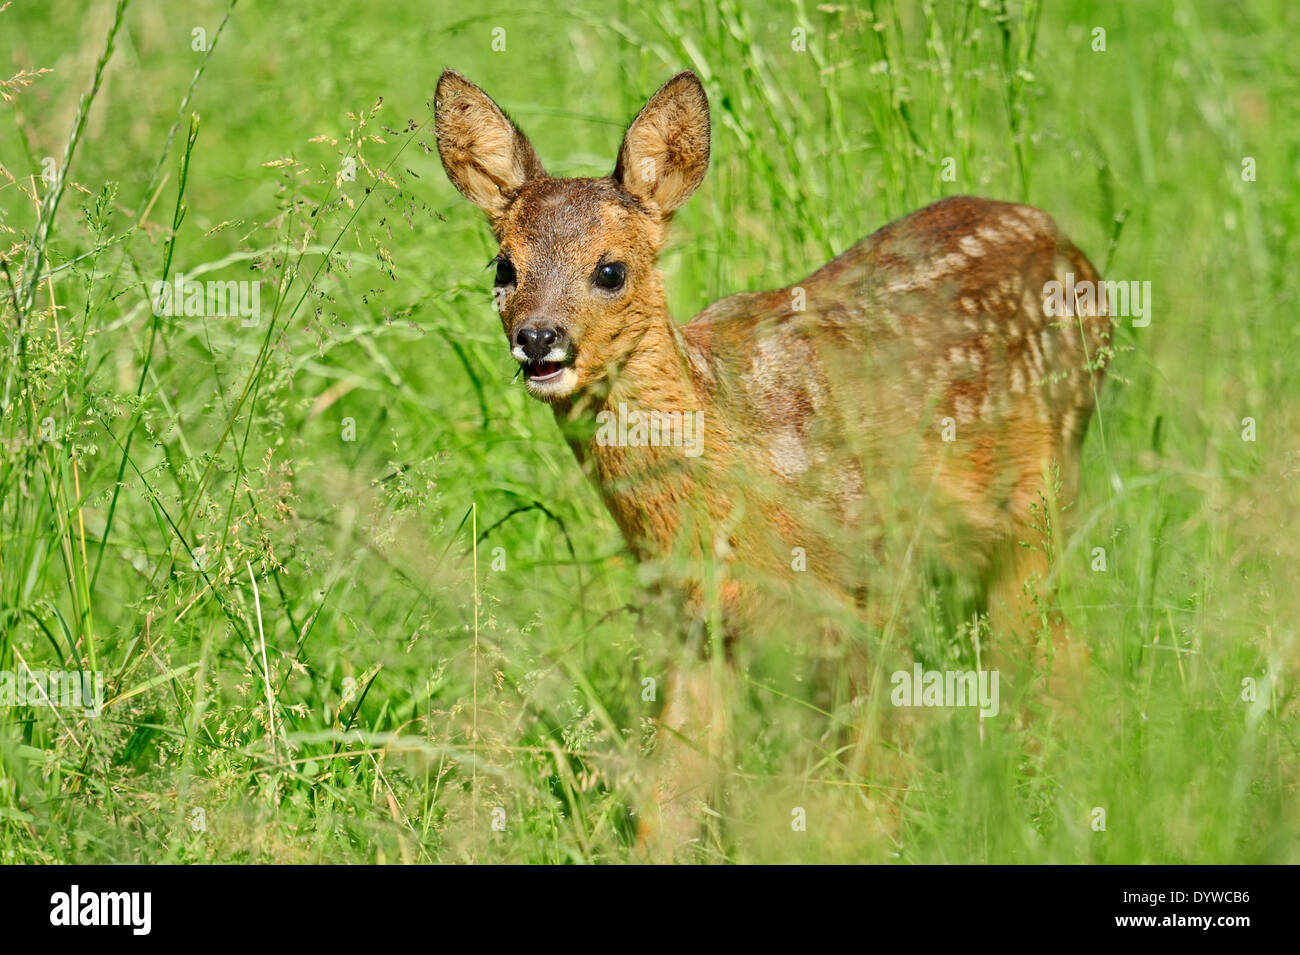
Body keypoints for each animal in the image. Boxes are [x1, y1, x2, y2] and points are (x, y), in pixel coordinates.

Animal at [434, 69, 1112, 857]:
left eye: (611, 269)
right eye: (504, 267)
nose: (540, 339)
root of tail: (1074, 251)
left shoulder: (874, 576)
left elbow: (877, 769)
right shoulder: (699, 620)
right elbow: (672, 790)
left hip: (1043, 491)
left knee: (1049, 651)